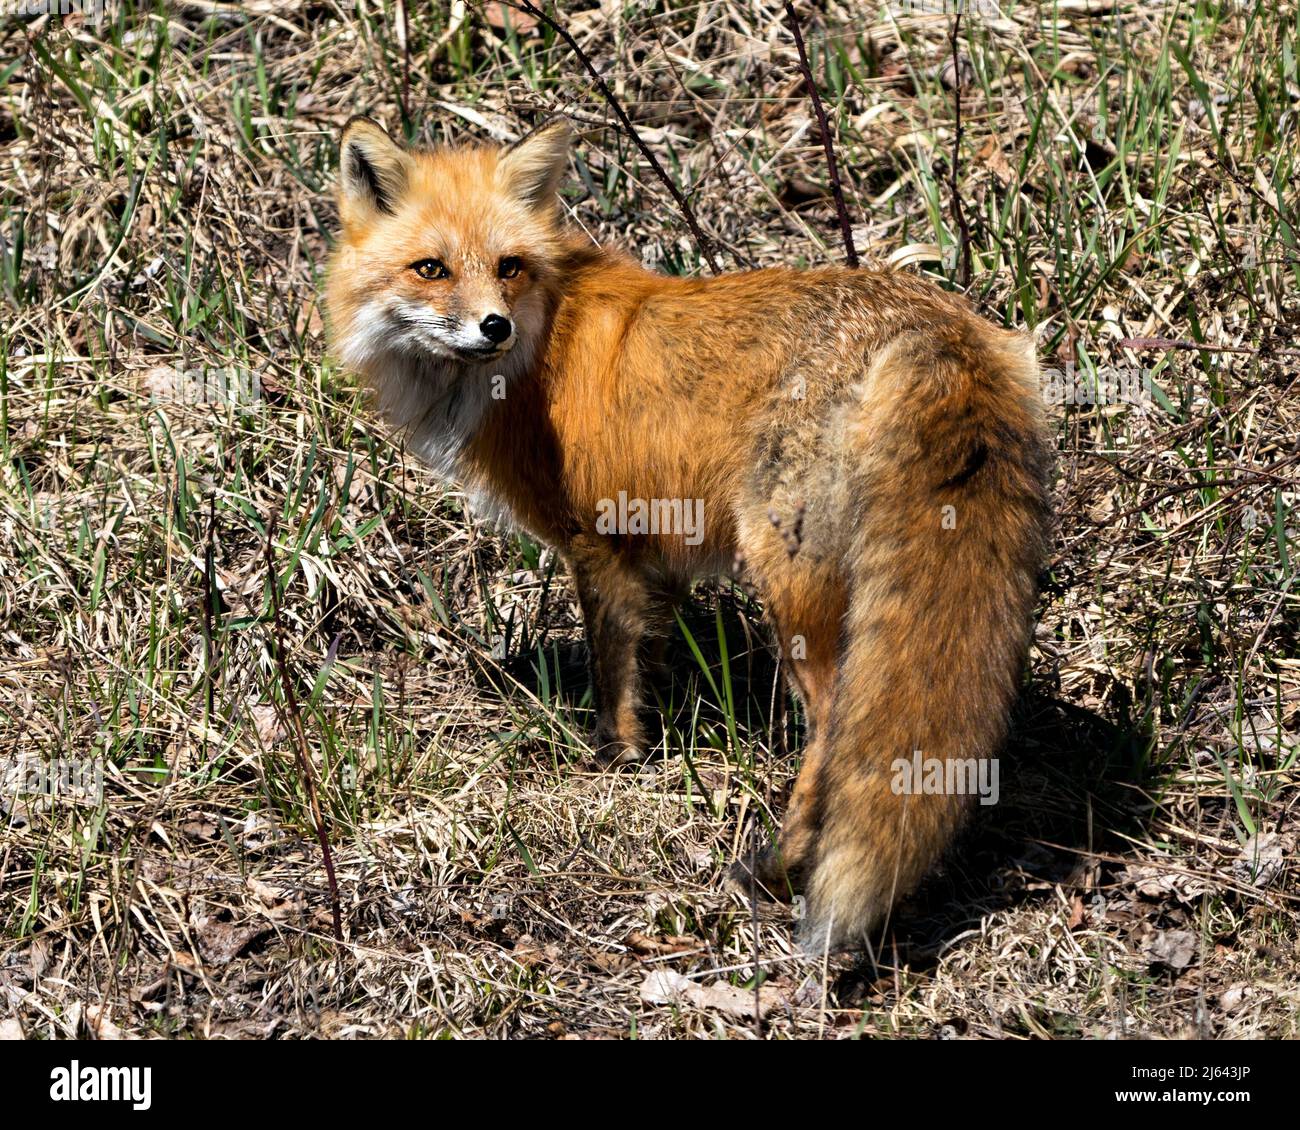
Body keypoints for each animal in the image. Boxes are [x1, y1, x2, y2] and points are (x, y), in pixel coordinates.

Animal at [325, 116, 1051, 952]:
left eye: (508, 267)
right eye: (431, 269)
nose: (492, 326)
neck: (543, 344)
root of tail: (937, 327)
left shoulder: (598, 540)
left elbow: (612, 675)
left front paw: (616, 764)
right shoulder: (656, 557)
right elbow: (653, 658)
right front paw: (659, 741)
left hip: (789, 579)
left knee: (834, 730)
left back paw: (778, 871)